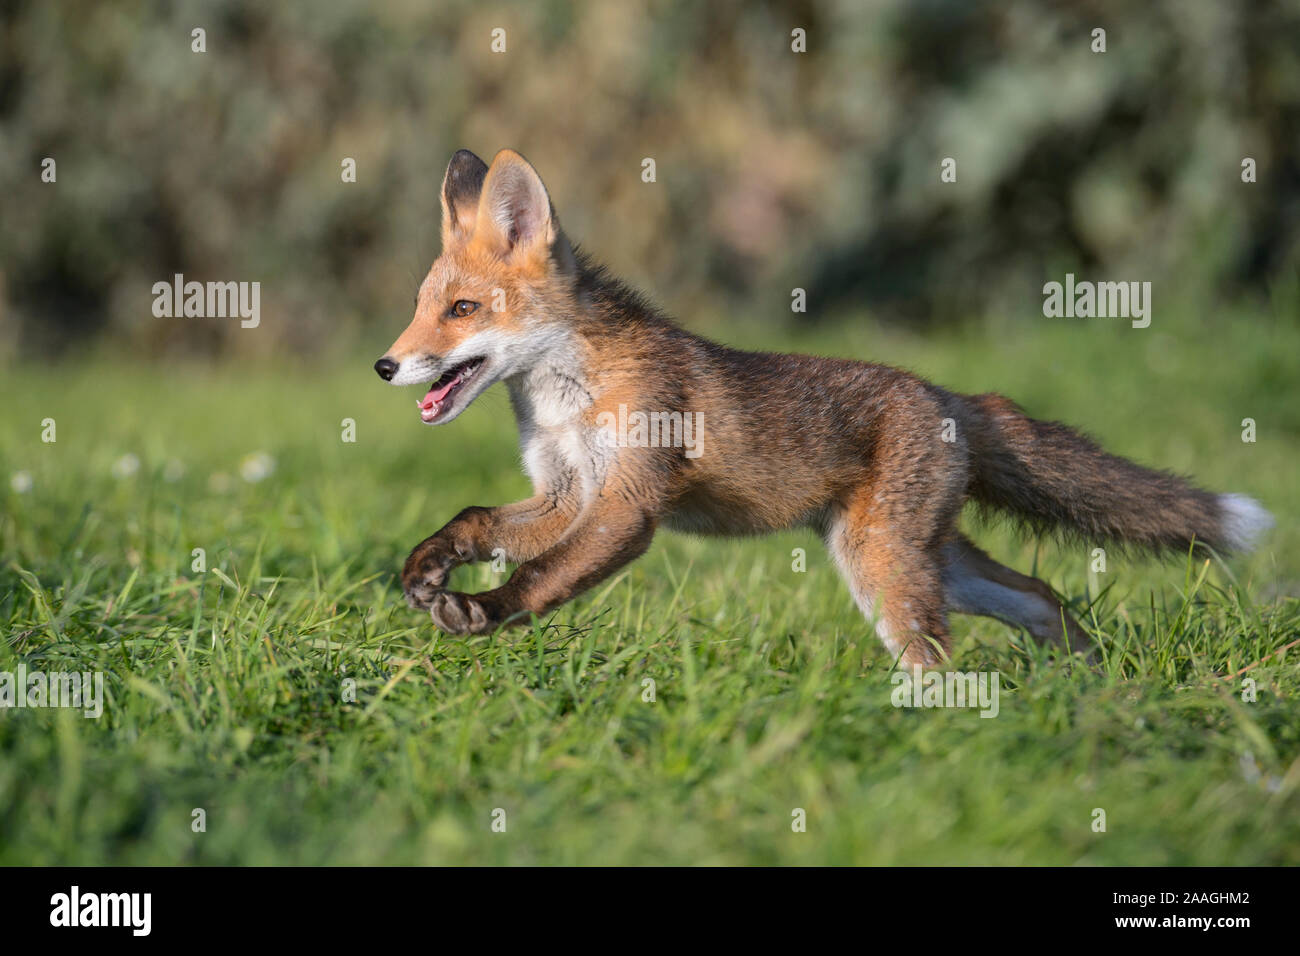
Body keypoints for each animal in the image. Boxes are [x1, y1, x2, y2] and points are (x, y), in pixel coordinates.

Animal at [374, 147, 1273, 666]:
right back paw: (1089, 690)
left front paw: (481, 610)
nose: (386, 364)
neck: (570, 398)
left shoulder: (628, 507)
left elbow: (540, 578)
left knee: (937, 657)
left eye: (461, 311)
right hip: (915, 558)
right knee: (1042, 599)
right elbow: (477, 519)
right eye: (419, 307)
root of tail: (948, 391)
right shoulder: (566, 493)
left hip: (884, 563)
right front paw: (427, 567)